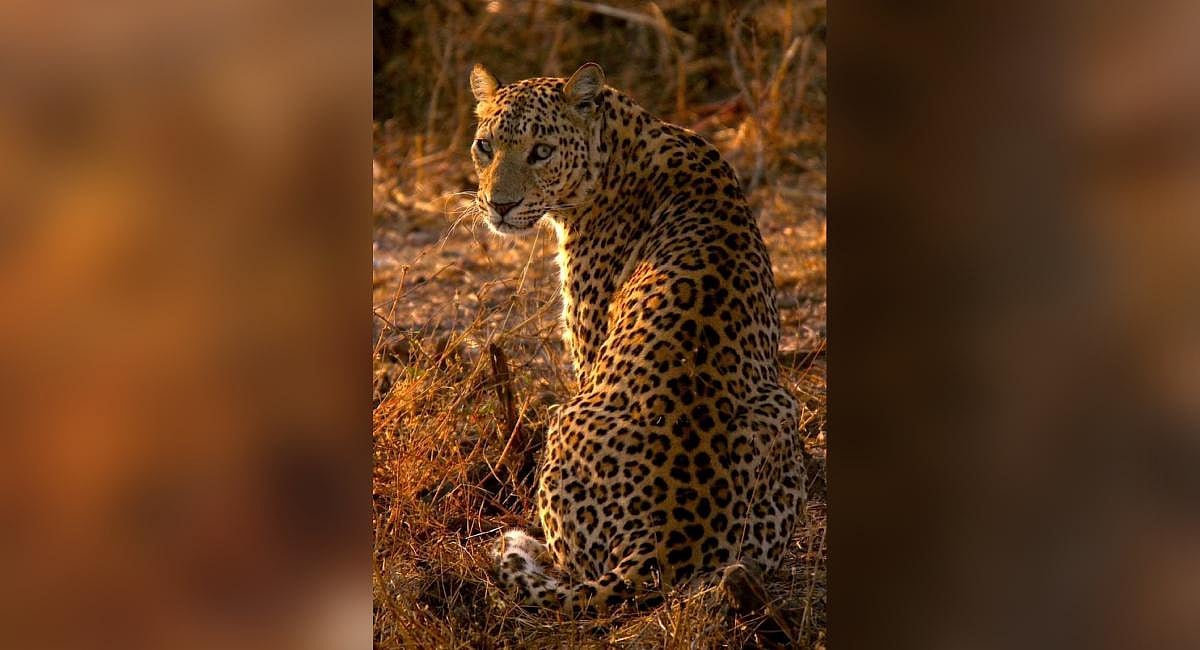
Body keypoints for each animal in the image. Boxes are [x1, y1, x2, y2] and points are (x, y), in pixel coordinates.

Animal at [469, 62, 806, 615]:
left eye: (541, 150)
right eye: (485, 146)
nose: (499, 206)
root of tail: (661, 546)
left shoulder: (588, 343)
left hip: (565, 419)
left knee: (574, 567)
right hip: (780, 410)